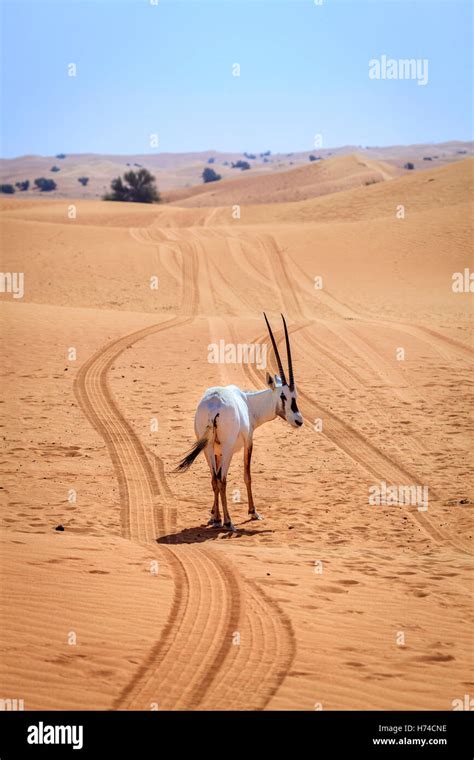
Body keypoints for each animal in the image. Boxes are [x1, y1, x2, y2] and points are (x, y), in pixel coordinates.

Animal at [175, 314, 303, 531]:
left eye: (295, 395)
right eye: (283, 396)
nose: (298, 420)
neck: (248, 402)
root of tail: (214, 407)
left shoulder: (216, 450)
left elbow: (215, 479)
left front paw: (213, 515)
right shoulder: (248, 442)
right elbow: (247, 475)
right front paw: (253, 512)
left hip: (208, 447)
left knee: (214, 479)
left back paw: (220, 519)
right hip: (227, 447)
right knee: (222, 479)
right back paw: (229, 521)